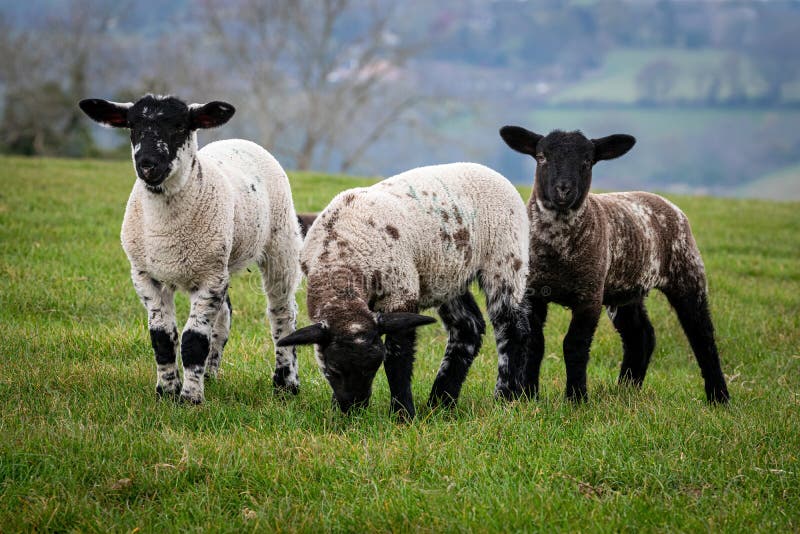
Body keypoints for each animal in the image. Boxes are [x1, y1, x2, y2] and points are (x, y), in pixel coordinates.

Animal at [79, 94, 303, 404]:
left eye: (180, 126)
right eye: (132, 126)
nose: (147, 164)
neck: (165, 228)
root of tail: (240, 140)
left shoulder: (209, 278)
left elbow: (193, 340)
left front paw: (190, 399)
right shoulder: (145, 275)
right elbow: (162, 337)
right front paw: (166, 392)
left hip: (280, 243)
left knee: (282, 314)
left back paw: (286, 383)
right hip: (221, 263)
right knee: (224, 316)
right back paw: (210, 374)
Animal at [276, 163, 530, 417]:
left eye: (373, 367)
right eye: (333, 369)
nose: (354, 408)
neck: (341, 256)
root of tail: (490, 172)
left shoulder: (400, 290)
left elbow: (397, 357)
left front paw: (403, 413)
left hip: (505, 256)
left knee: (511, 327)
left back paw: (508, 397)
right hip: (448, 276)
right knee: (468, 327)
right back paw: (441, 402)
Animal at [499, 126, 730, 404]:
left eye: (587, 162)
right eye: (542, 157)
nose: (564, 190)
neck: (558, 247)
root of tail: (665, 202)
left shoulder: (589, 295)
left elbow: (574, 345)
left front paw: (576, 397)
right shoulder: (532, 293)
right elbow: (535, 343)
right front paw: (528, 395)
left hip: (687, 272)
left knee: (702, 336)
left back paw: (719, 396)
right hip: (625, 290)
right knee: (640, 336)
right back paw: (627, 388)